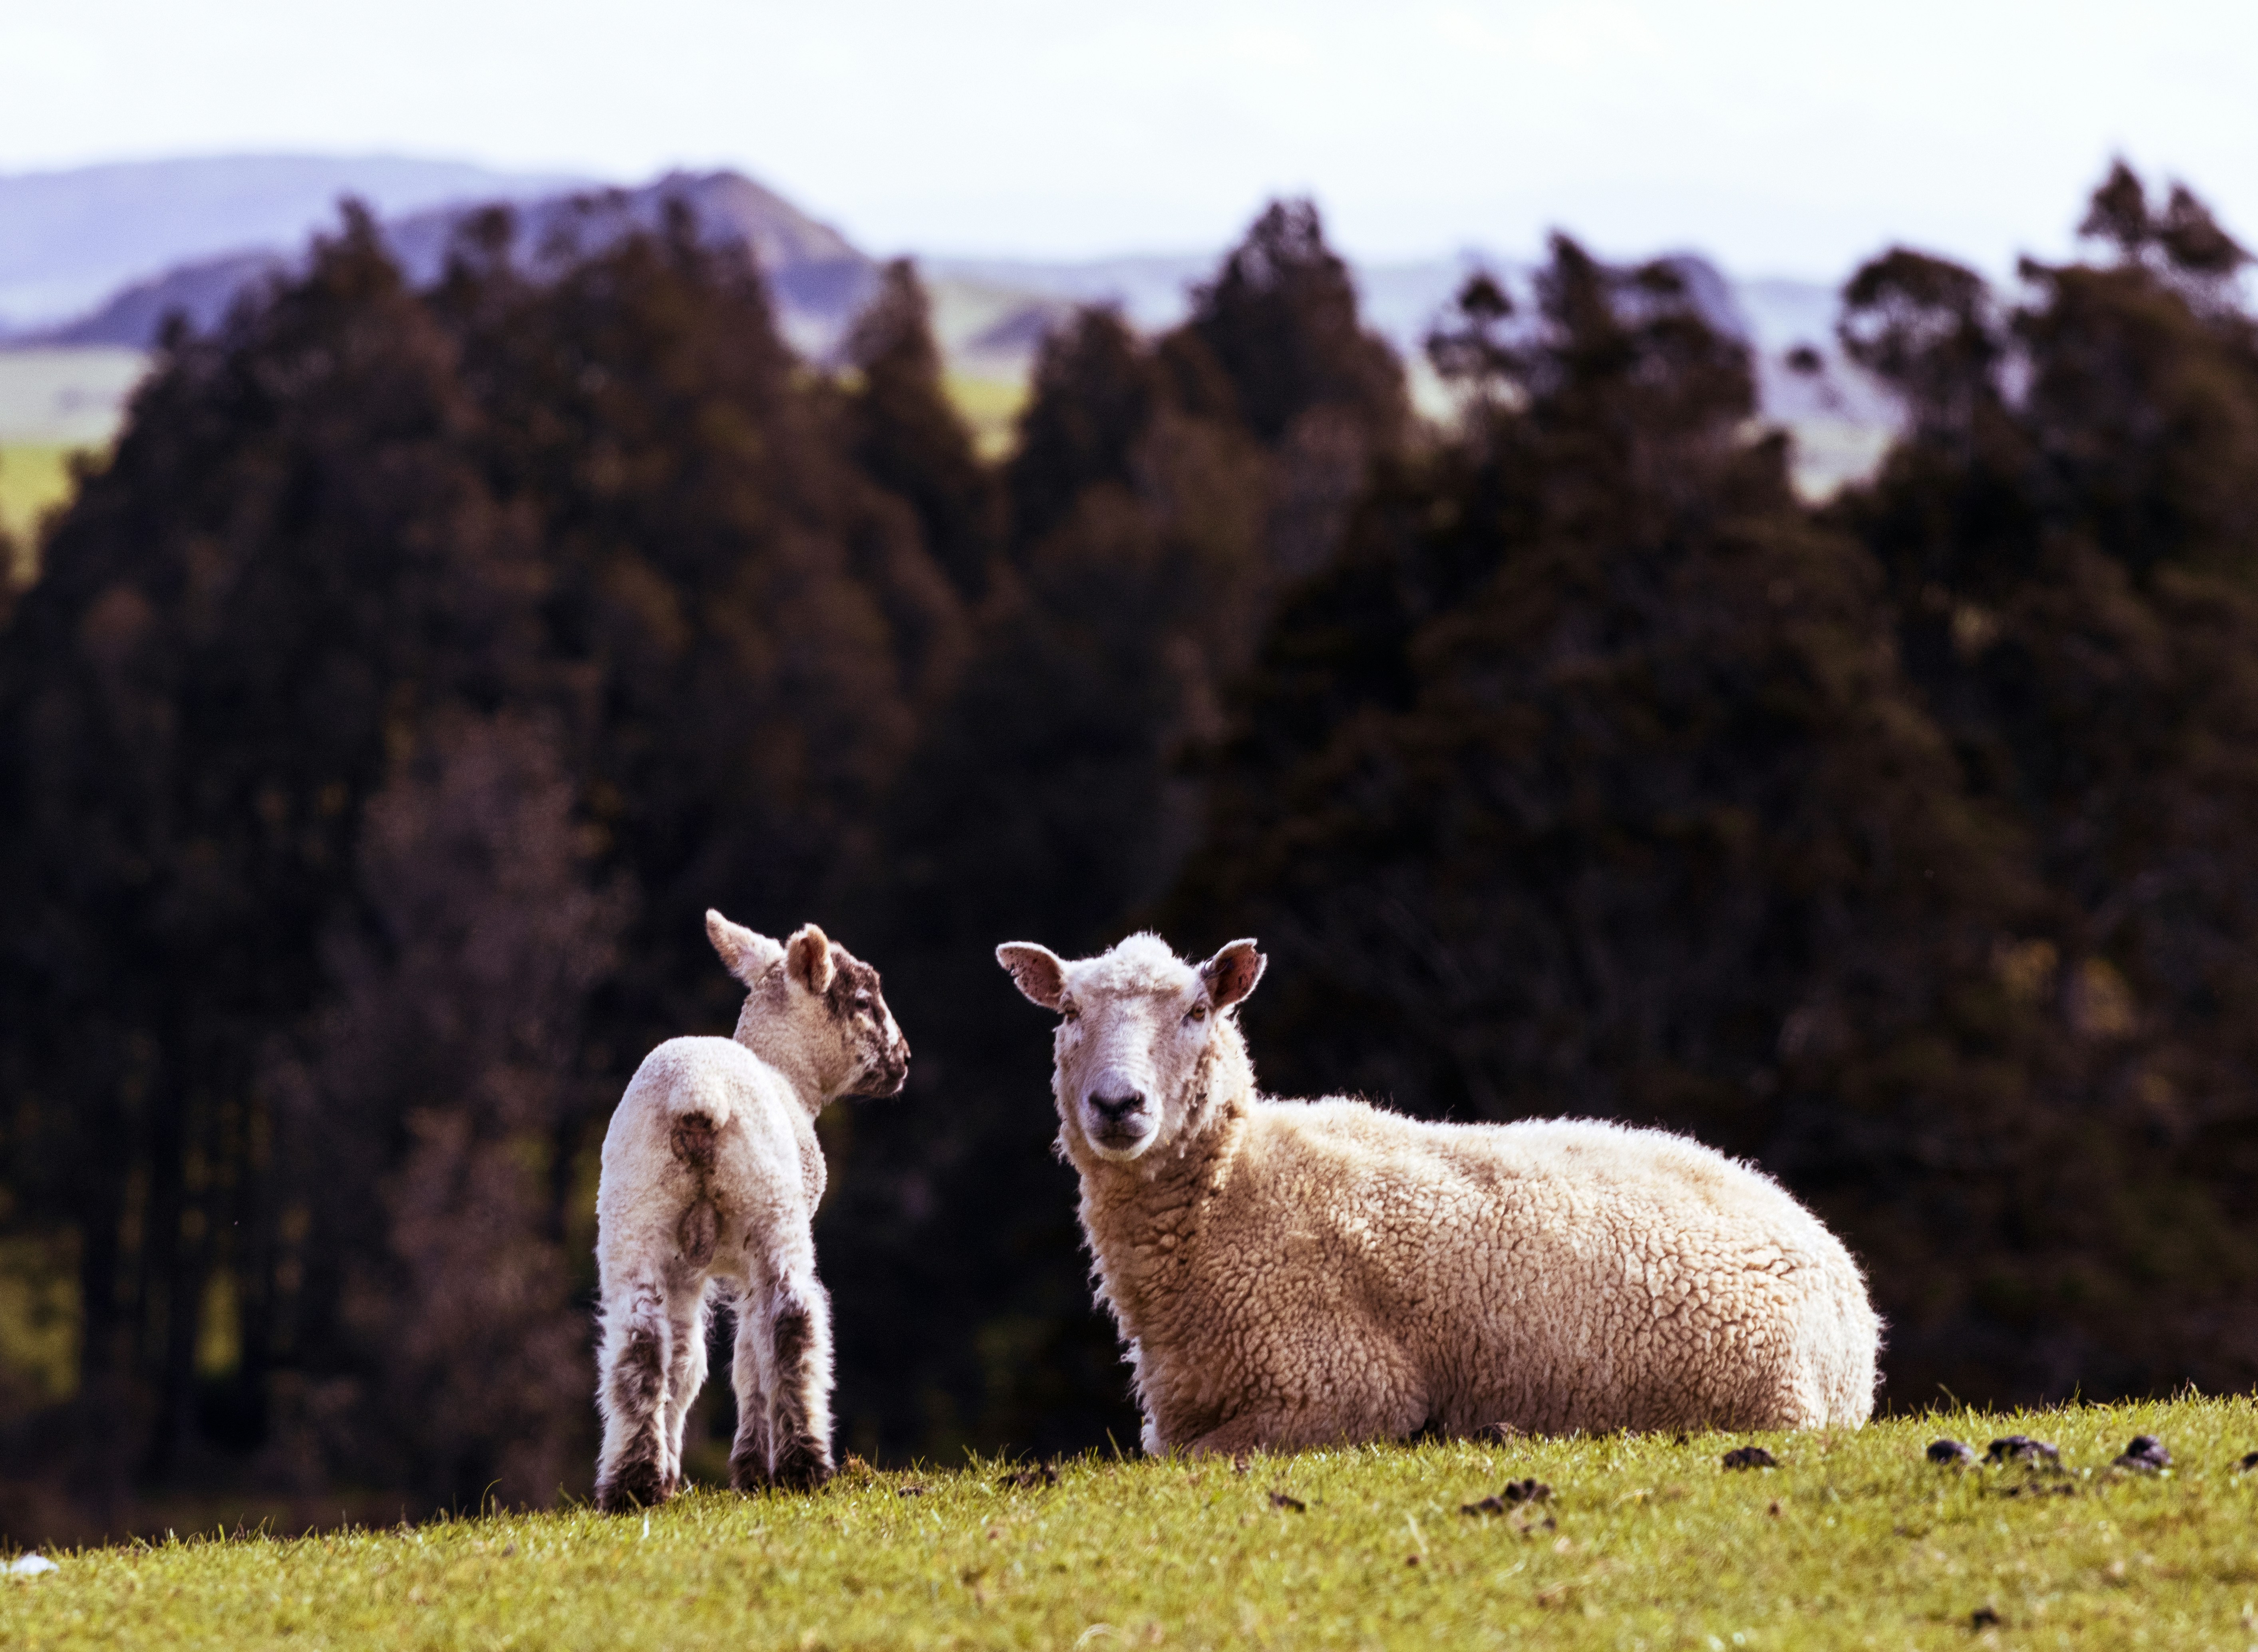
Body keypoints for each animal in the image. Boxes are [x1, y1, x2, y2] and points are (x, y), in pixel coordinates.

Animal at [593, 912, 908, 1511]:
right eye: (863, 999)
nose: (903, 1060)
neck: (789, 1076)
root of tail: (697, 1095)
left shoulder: (687, 1271)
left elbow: (688, 1360)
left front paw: (676, 1471)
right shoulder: (750, 1257)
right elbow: (748, 1355)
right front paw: (753, 1468)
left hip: (632, 1216)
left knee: (640, 1341)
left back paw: (634, 1483)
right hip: (772, 1212)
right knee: (791, 1321)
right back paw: (804, 1465)